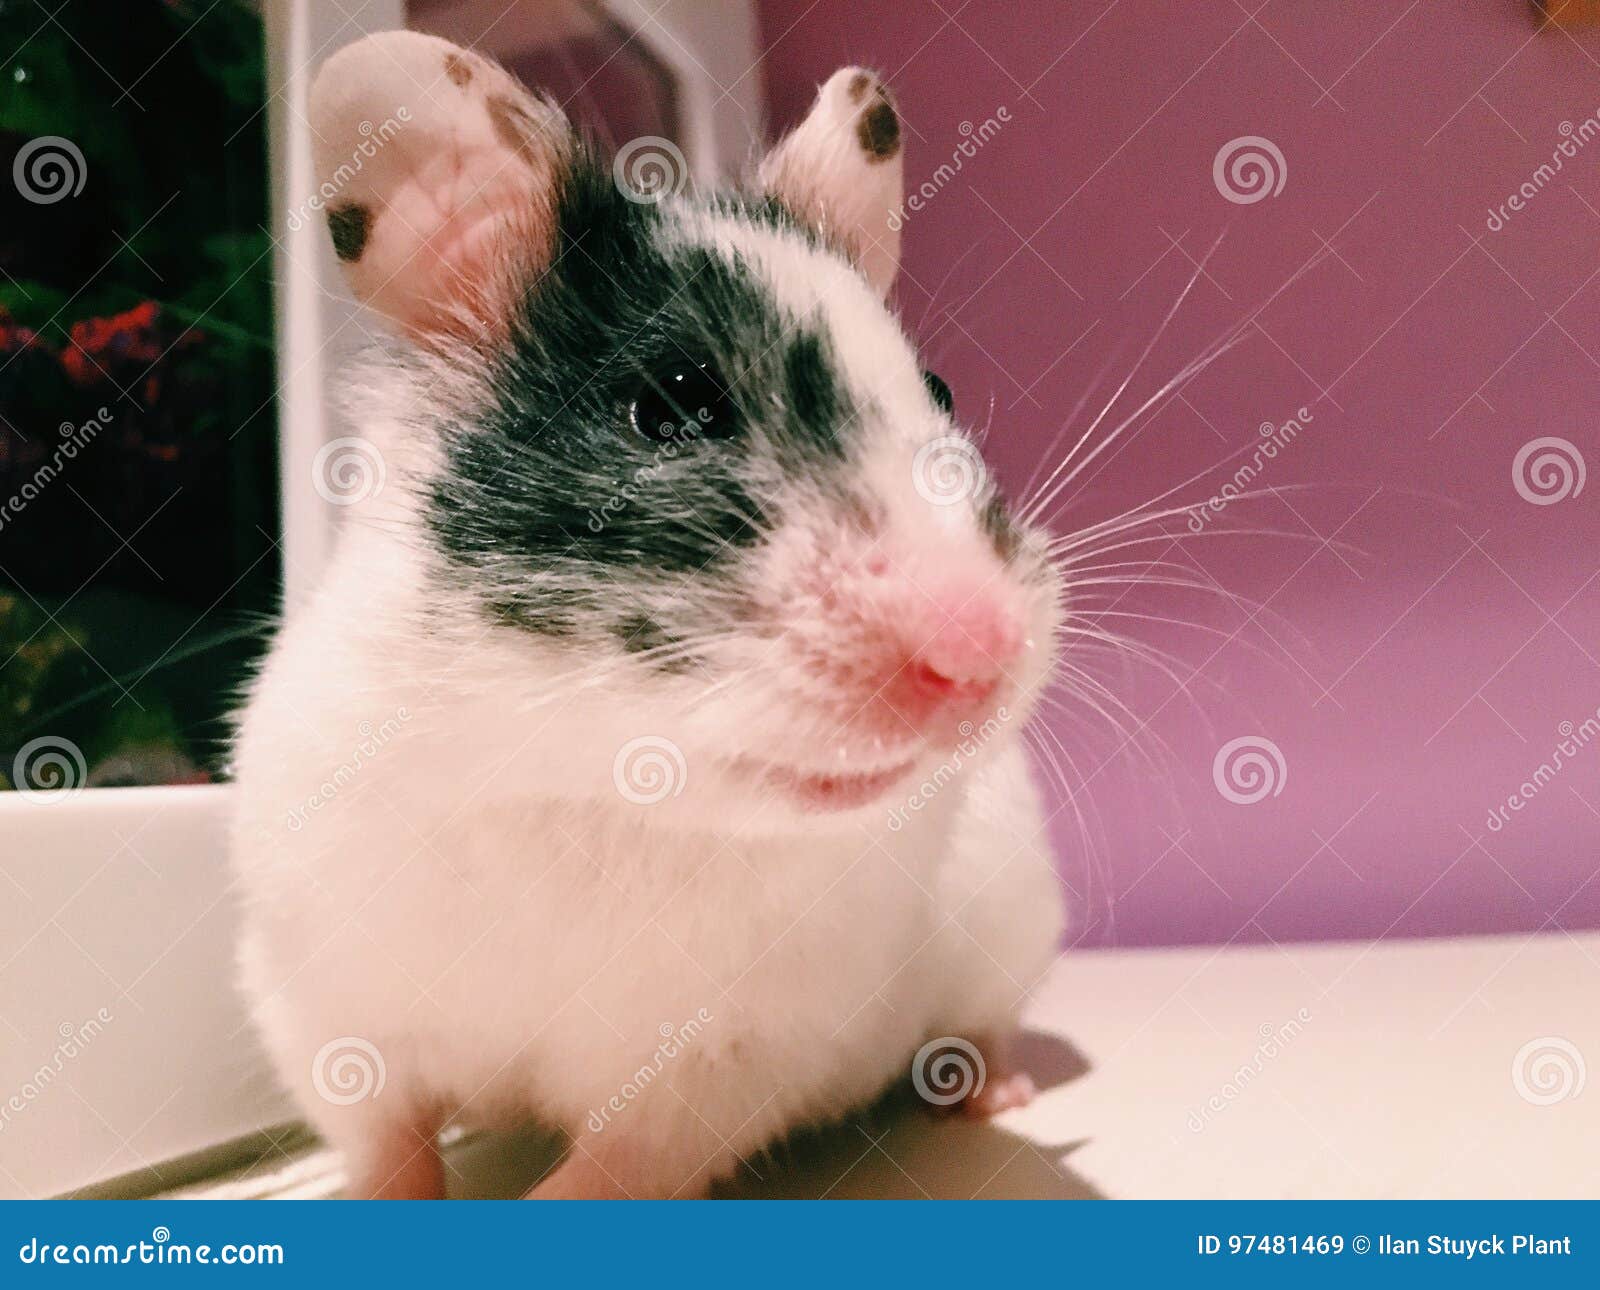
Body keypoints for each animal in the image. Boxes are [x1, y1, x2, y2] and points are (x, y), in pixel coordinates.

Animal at [231, 30, 1065, 1199]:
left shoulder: (724, 1065)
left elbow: (603, 1174)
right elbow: (384, 1142)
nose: (984, 656)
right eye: (673, 403)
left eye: (941, 393)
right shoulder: (315, 1007)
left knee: (984, 1026)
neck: (586, 774)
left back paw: (995, 1096)